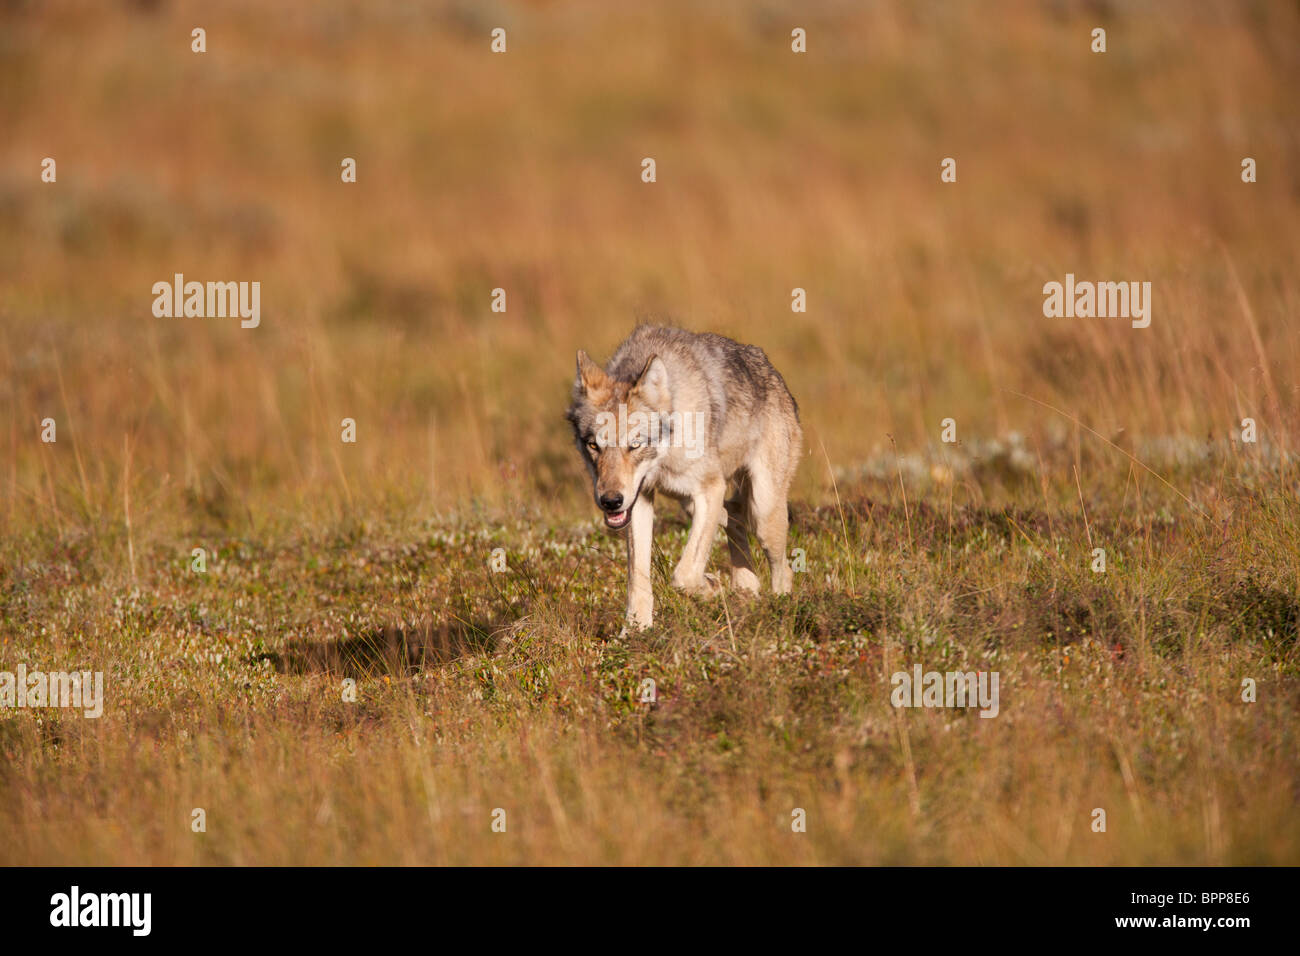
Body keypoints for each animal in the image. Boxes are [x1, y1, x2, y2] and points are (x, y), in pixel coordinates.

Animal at [566, 325, 802, 630]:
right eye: (594, 445)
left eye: (635, 445)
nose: (610, 501)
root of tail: (773, 371)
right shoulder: (640, 500)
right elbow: (637, 576)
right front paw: (637, 630)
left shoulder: (710, 489)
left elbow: (684, 575)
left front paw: (711, 588)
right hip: (691, 503)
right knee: (735, 516)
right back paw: (745, 589)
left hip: (763, 512)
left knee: (783, 568)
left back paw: (779, 609)